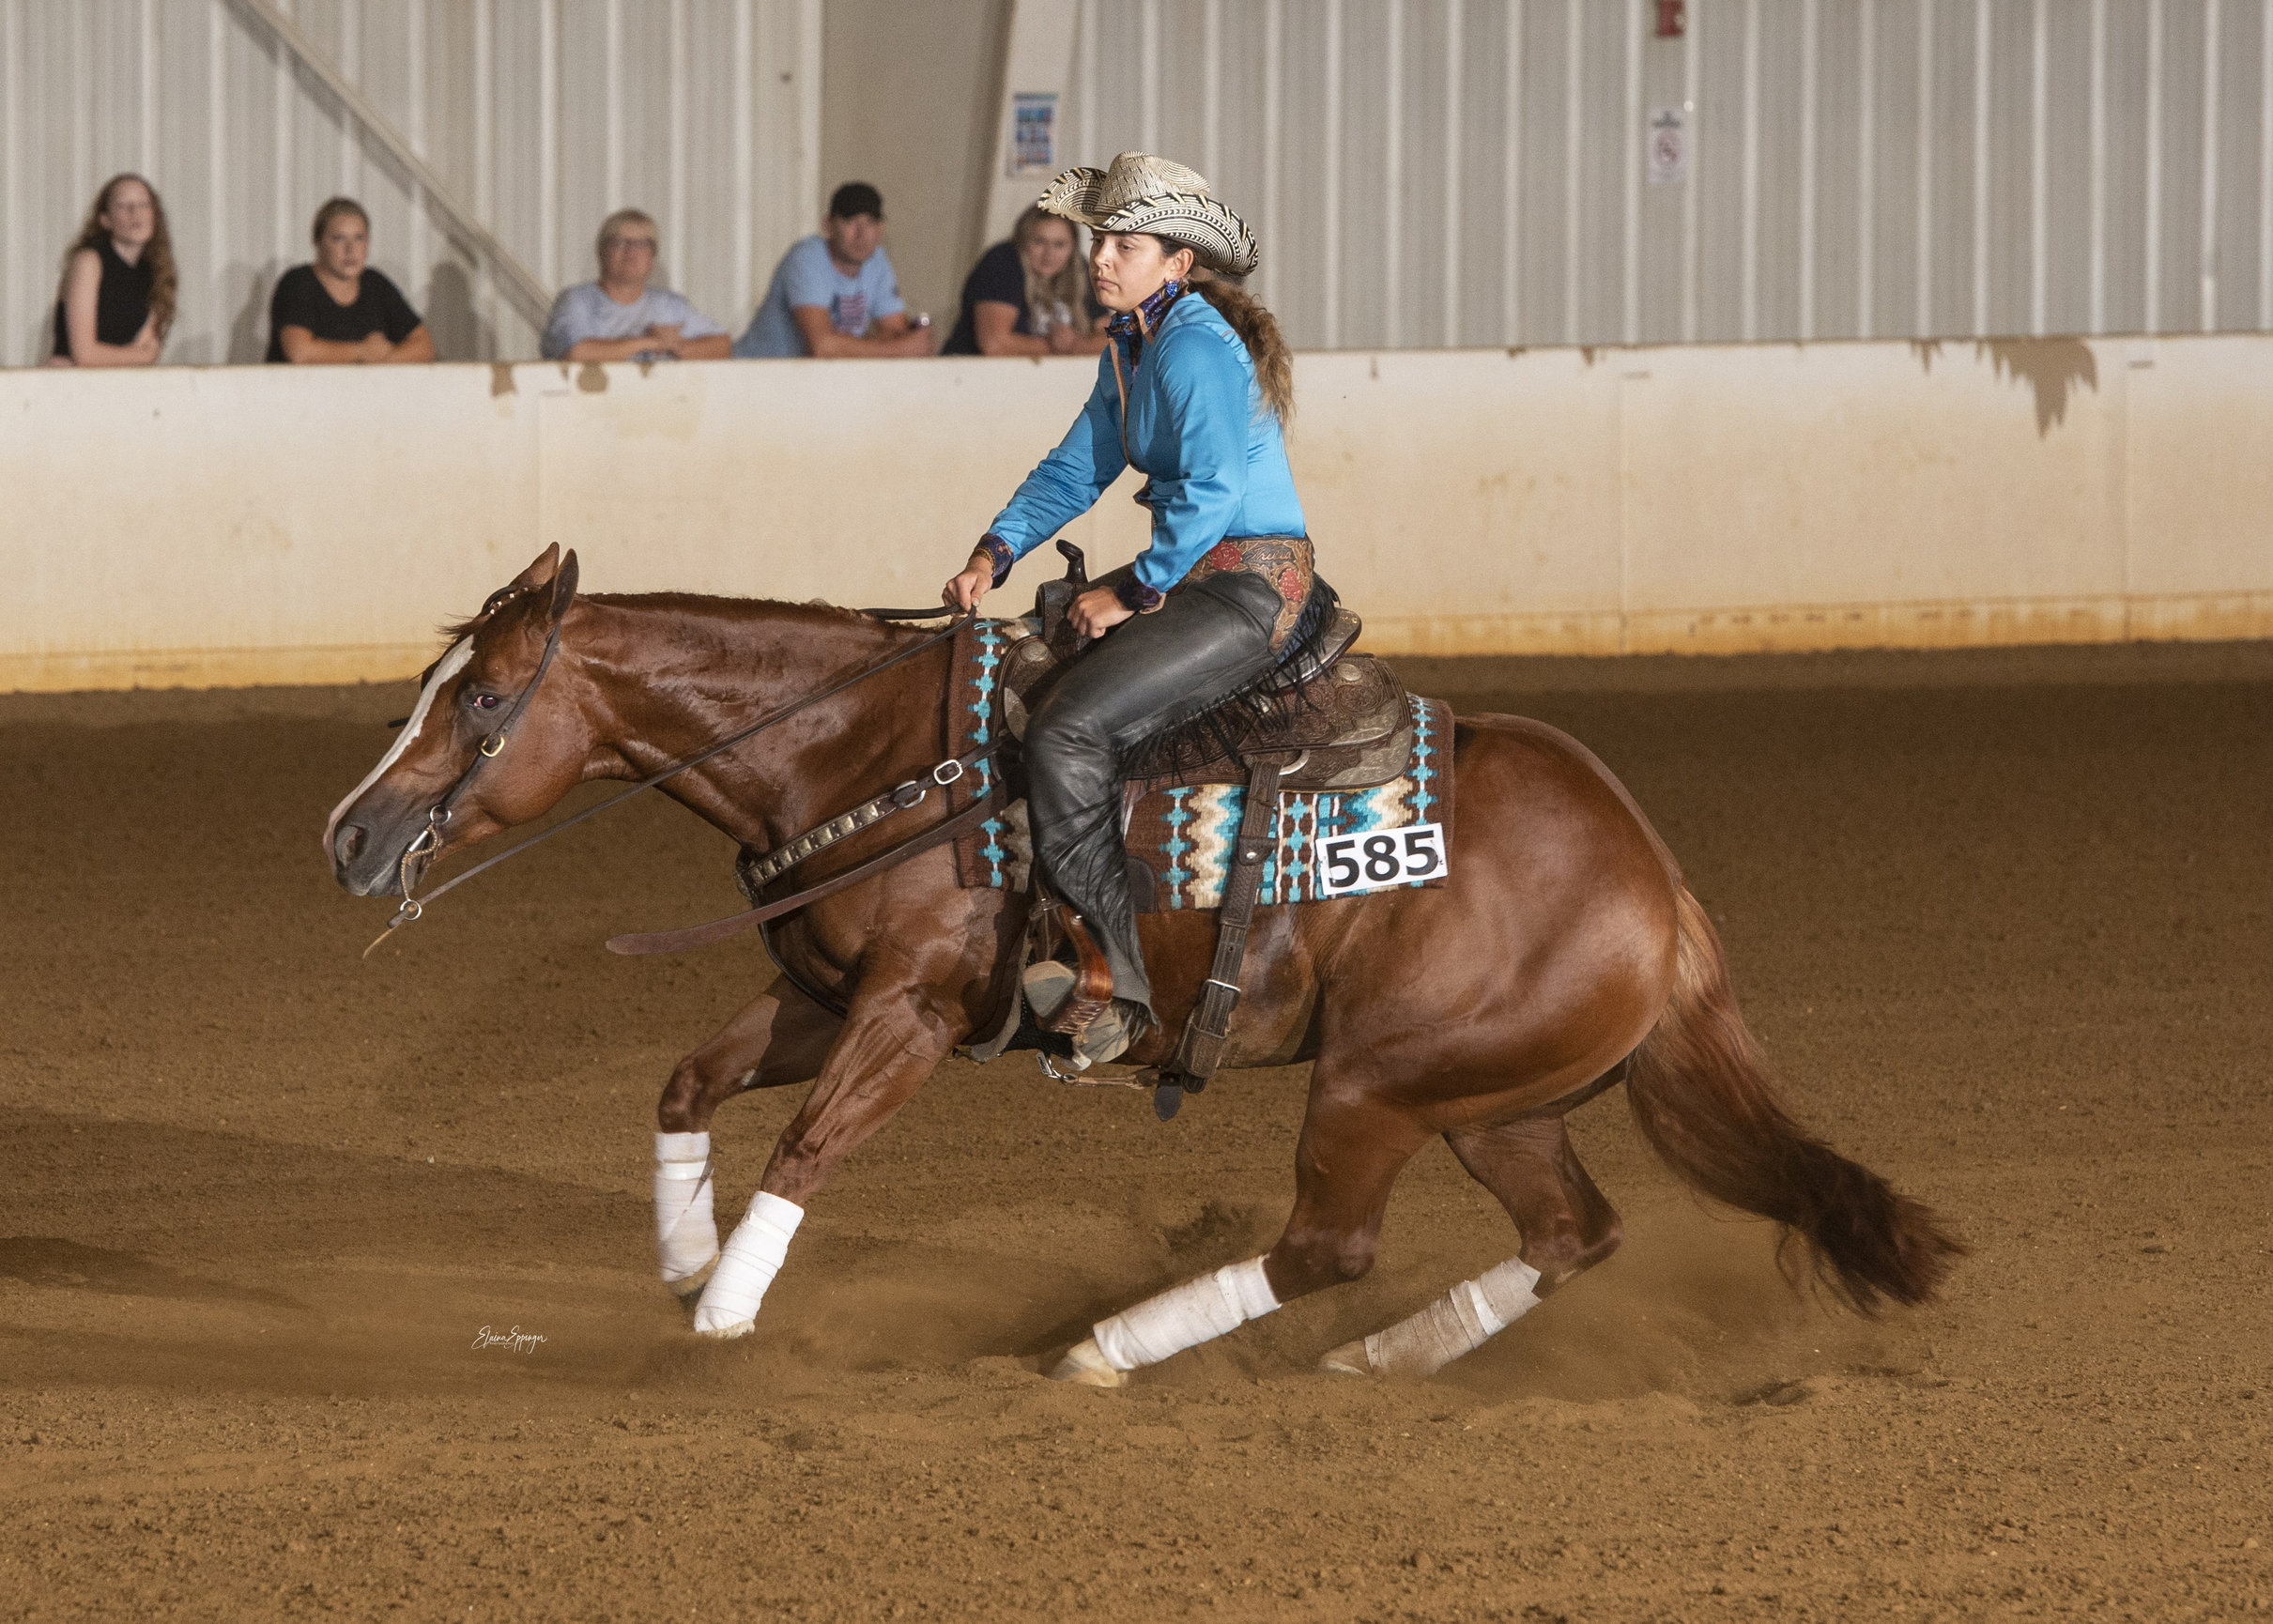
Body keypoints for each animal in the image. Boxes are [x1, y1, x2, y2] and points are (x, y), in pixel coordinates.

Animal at [325, 546, 1962, 1385]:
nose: (348, 835)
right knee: (1573, 1231)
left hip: (1376, 1088)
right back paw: (1380, 1367)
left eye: (479, 699)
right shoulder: (819, 993)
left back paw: (1108, 1346)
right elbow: (687, 1082)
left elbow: (807, 1146)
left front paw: (722, 1316)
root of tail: (1657, 883)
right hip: (1492, 1101)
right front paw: (678, 1258)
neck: (870, 756)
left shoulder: (913, 1014)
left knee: (1332, 1244)